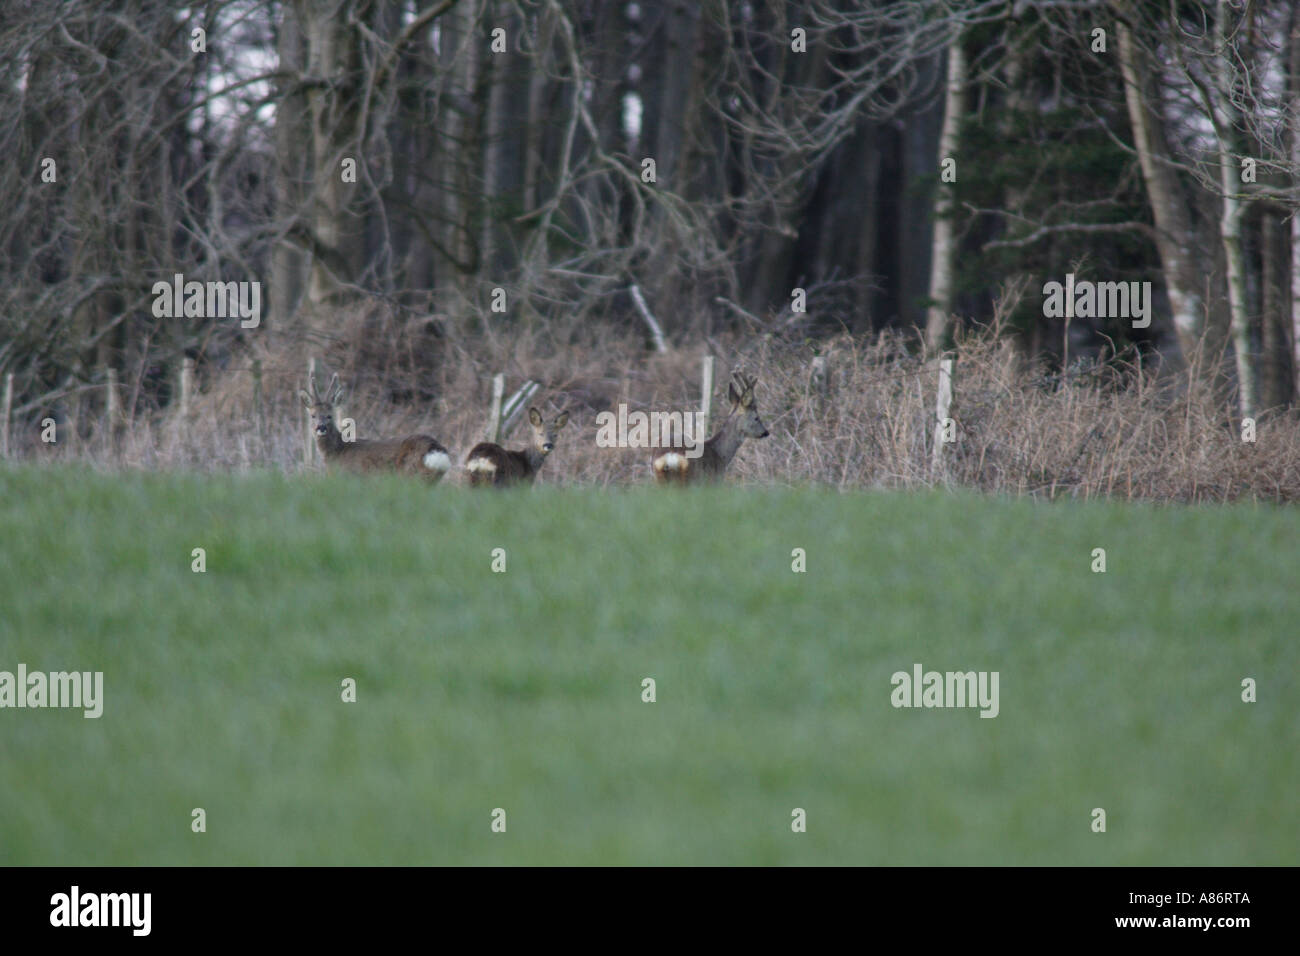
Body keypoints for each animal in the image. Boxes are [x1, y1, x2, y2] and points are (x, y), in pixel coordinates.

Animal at [299, 373, 451, 482]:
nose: (321, 427)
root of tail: (436, 450)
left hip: (411, 474)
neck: (337, 452)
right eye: (313, 415)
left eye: (330, 415)